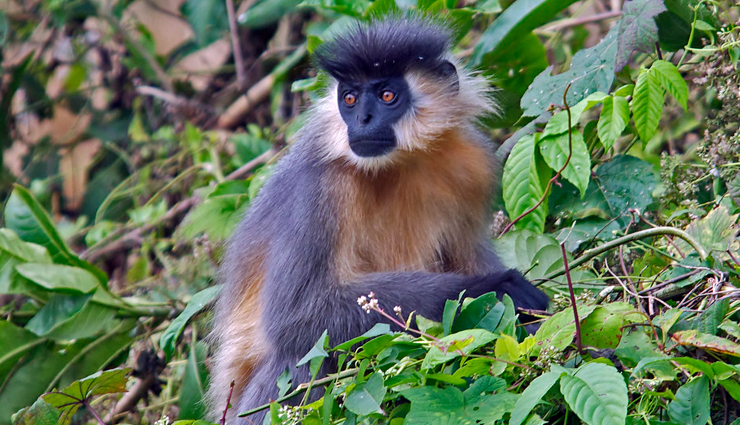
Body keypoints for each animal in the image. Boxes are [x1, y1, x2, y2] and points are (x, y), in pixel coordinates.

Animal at [207, 16, 549, 423]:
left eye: (387, 96)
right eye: (350, 99)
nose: (363, 119)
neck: (400, 164)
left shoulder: (474, 164)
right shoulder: (318, 188)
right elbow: (294, 318)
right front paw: (496, 287)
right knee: (300, 356)